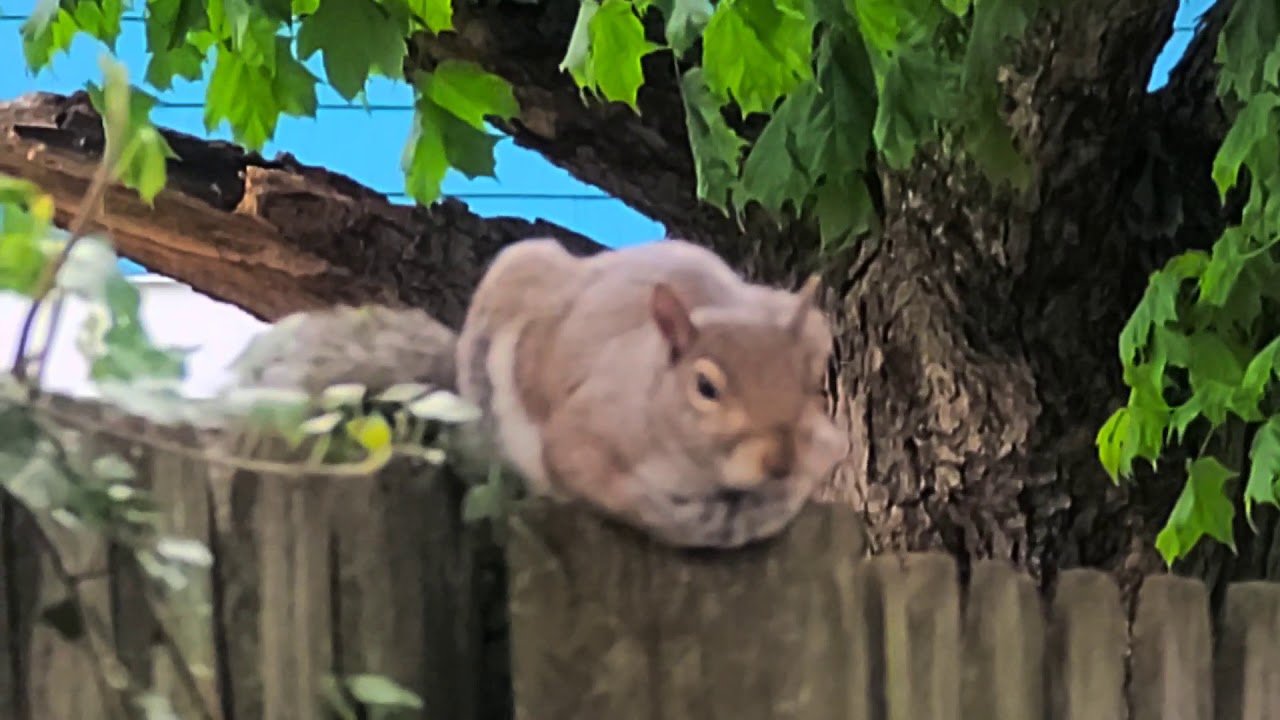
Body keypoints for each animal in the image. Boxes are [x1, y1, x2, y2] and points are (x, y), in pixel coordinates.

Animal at [455, 237, 848, 549]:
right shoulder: (586, 425)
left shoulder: (824, 443)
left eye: (808, 381)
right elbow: (587, 475)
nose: (780, 463)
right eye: (705, 387)